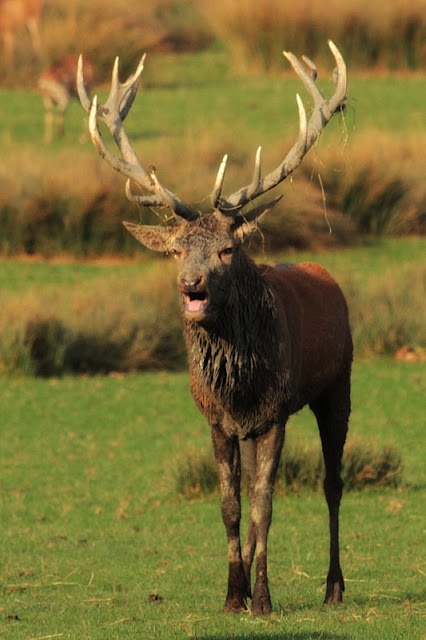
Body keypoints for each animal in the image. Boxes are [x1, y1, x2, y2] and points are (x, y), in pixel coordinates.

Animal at [77, 40, 352, 615]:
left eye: (228, 249)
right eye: (176, 249)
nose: (191, 284)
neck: (239, 385)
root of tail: (326, 275)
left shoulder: (275, 411)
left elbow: (265, 505)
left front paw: (264, 600)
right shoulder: (216, 419)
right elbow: (231, 505)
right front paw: (232, 596)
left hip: (339, 384)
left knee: (333, 483)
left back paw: (334, 586)